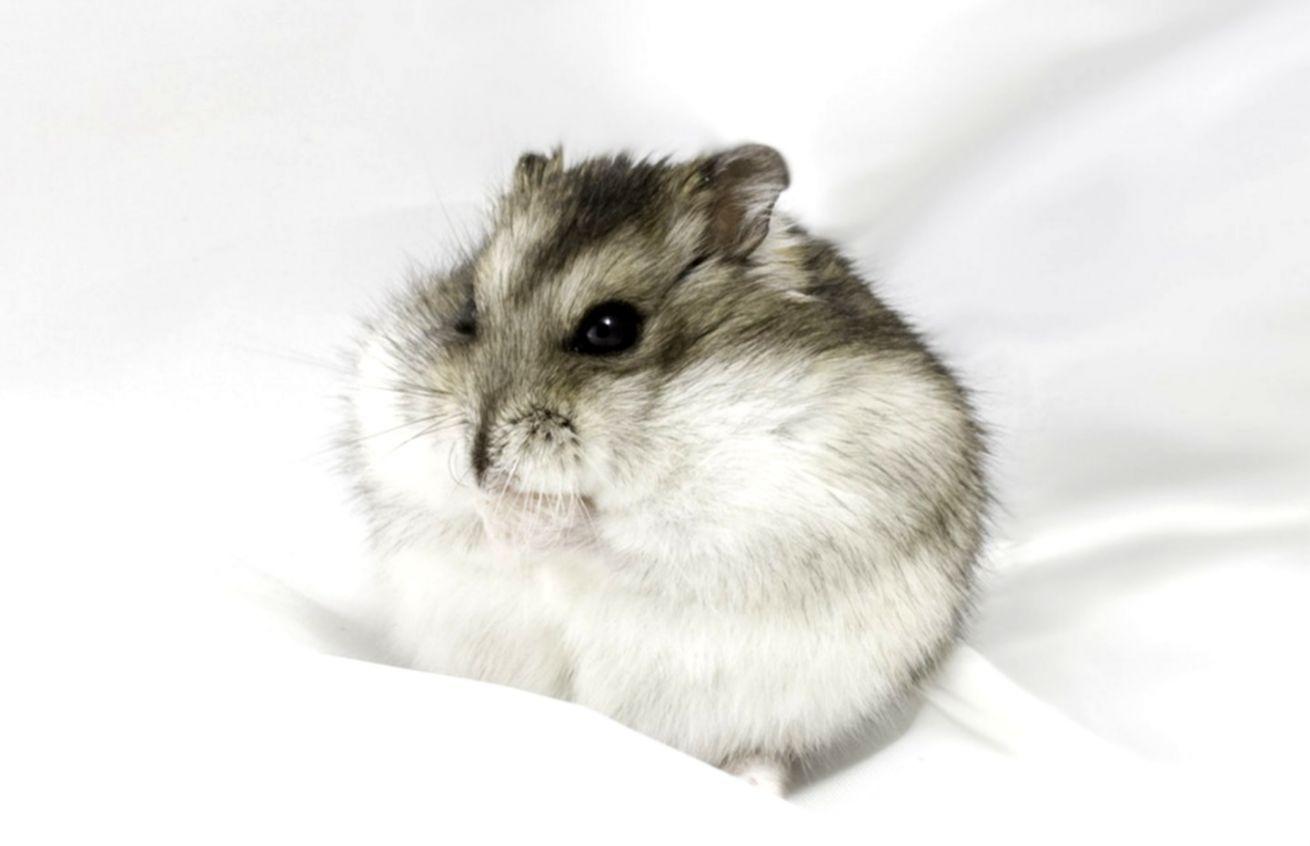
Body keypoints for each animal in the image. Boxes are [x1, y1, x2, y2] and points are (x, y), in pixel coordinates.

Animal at [340, 144, 987, 794]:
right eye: (467, 313)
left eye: (609, 329)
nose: (477, 462)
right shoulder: (396, 444)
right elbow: (461, 516)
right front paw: (495, 502)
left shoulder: (763, 496)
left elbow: (610, 531)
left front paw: (533, 509)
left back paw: (755, 783)